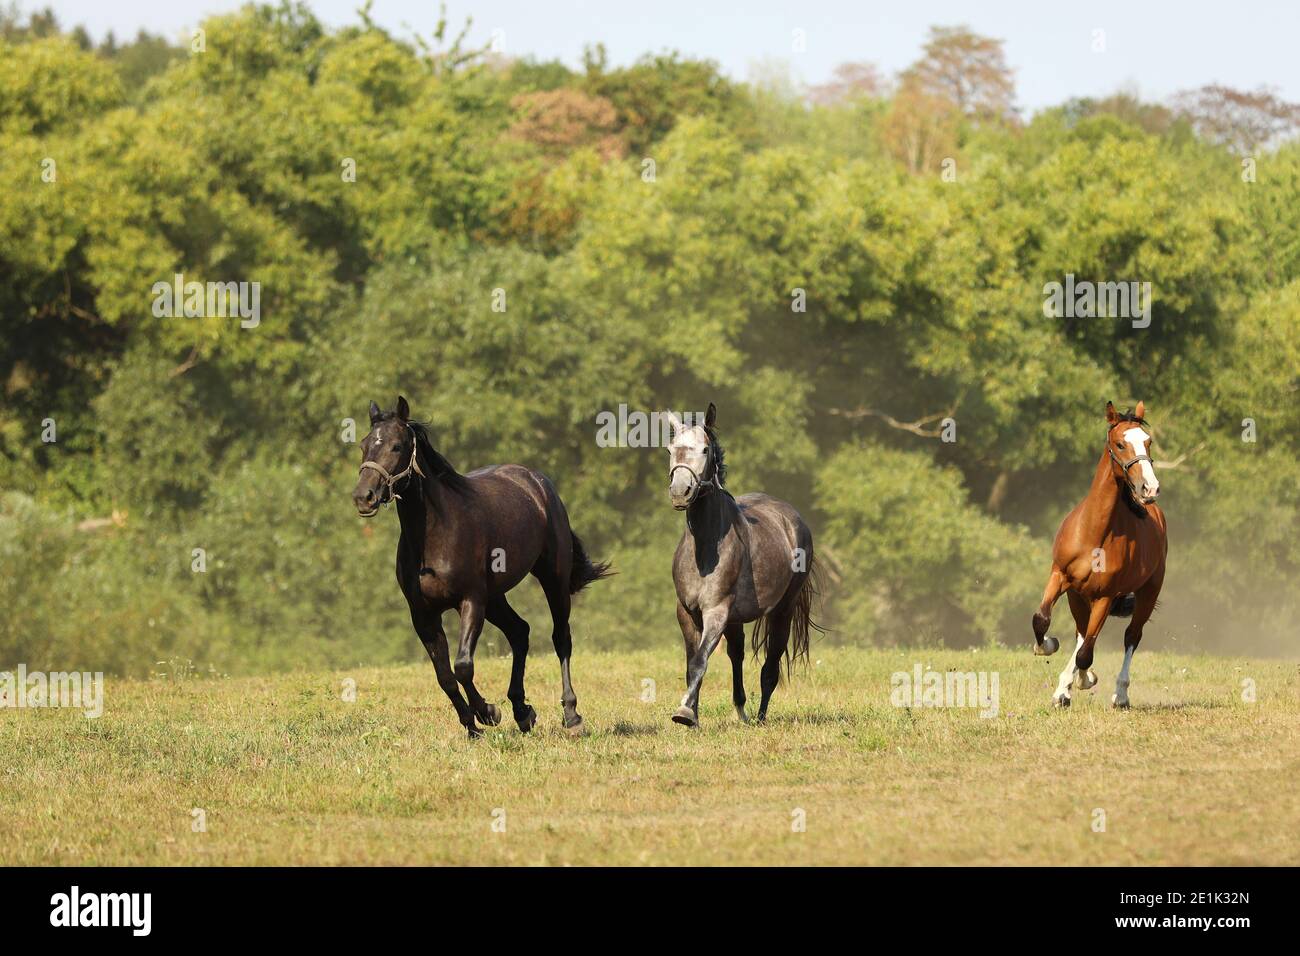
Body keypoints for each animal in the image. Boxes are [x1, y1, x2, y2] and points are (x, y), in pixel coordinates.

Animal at [351, 396, 612, 738]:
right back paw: (522, 712)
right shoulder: (423, 614)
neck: (435, 536)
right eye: (364, 444)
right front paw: (472, 726)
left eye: (396, 446)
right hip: (495, 597)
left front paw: (488, 713)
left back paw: (571, 716)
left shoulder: (470, 600)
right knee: (520, 632)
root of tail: (537, 483)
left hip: (551, 579)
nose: (363, 497)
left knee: (561, 638)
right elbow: (445, 676)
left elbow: (463, 666)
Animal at [664, 403, 823, 727]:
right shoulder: (687, 612)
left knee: (771, 665)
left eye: (704, 449)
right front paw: (693, 715)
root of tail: (792, 518)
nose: (680, 491)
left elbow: (700, 660)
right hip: (736, 619)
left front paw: (684, 713)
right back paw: (741, 710)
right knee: (736, 654)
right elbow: (692, 663)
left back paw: (760, 717)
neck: (705, 545)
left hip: (782, 610)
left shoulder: (716, 611)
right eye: (671, 449)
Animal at [1031, 400, 1168, 708]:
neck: (1094, 531)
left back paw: (1120, 694)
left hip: (1148, 591)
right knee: (1083, 633)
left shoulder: (1105, 596)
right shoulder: (1060, 576)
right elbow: (1042, 620)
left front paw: (1085, 680)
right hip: (1078, 596)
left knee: (1131, 636)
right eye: (1119, 444)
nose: (1150, 488)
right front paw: (1048, 648)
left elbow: (1087, 653)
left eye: (1148, 442)